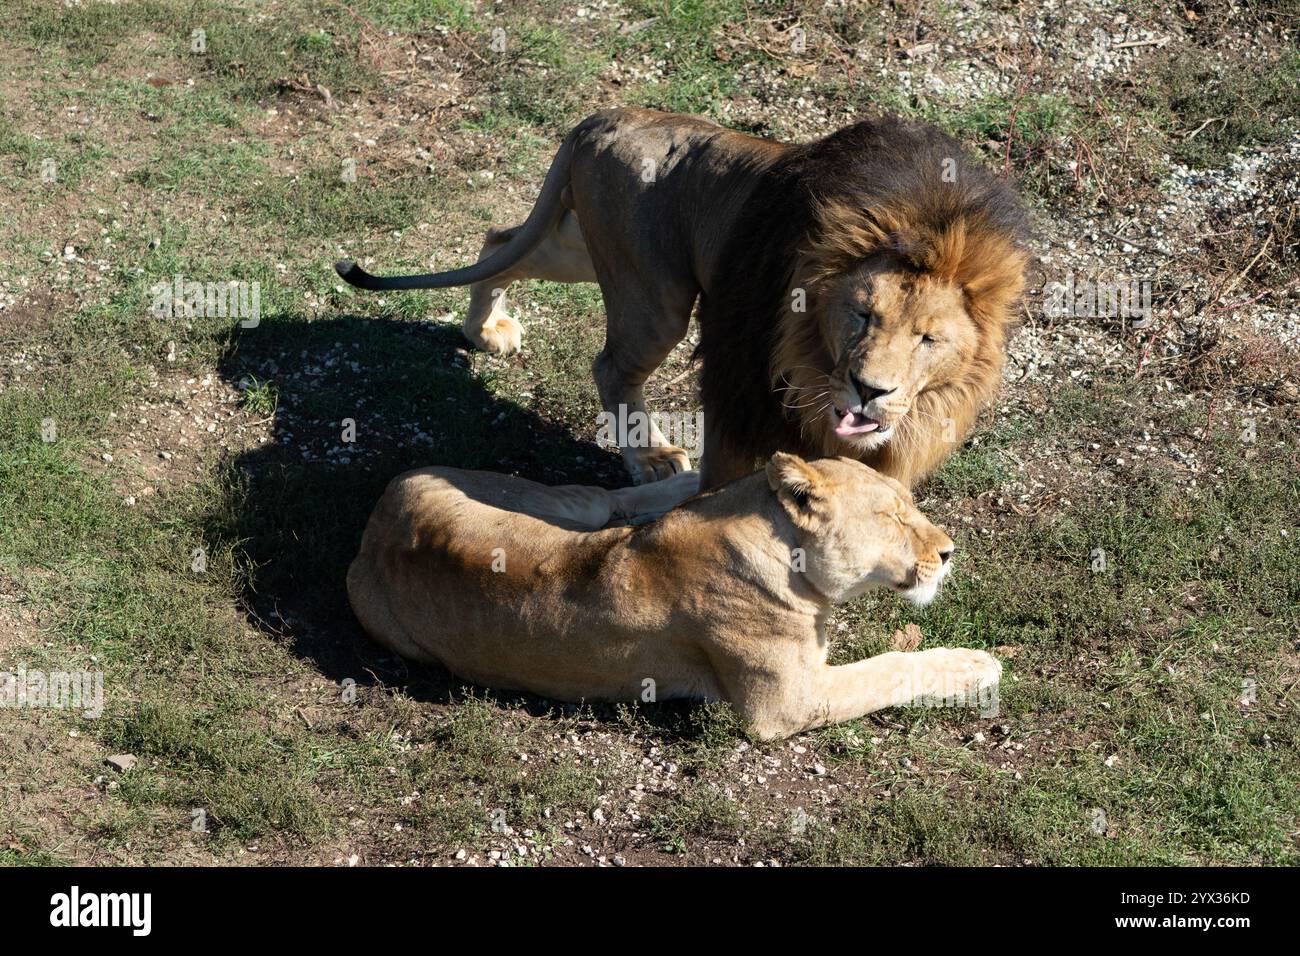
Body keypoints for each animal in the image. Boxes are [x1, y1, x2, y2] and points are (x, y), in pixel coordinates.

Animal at [336, 108, 1028, 490]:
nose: (868, 389)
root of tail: (604, 117)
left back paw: (483, 330)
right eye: (863, 315)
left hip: (585, 247)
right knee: (610, 366)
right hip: (654, 296)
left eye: (928, 339)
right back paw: (649, 459)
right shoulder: (740, 388)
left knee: (501, 240)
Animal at [346, 454, 1000, 741]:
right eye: (892, 517)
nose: (949, 551)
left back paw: (684, 480)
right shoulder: (784, 705)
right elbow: (888, 669)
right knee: (607, 499)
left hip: (564, 510)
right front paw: (973, 665)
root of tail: (375, 526)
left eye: (911, 503)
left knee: (615, 503)